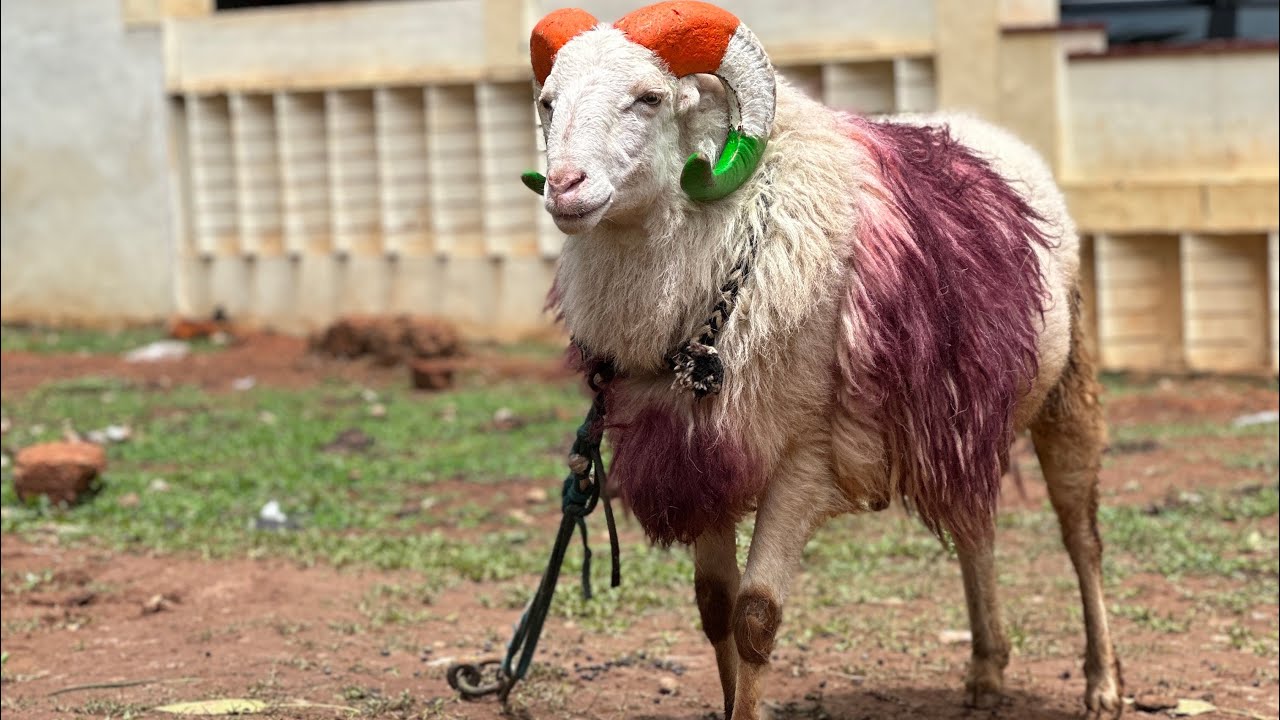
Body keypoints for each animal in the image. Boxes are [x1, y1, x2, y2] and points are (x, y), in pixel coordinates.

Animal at [524, 2, 1122, 718]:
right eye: (548, 102)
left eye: (649, 98)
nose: (565, 187)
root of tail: (981, 133)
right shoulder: (700, 454)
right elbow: (715, 607)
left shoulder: (808, 458)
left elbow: (755, 617)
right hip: (962, 414)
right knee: (975, 527)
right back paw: (985, 670)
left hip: (1066, 388)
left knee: (1081, 537)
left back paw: (1102, 683)